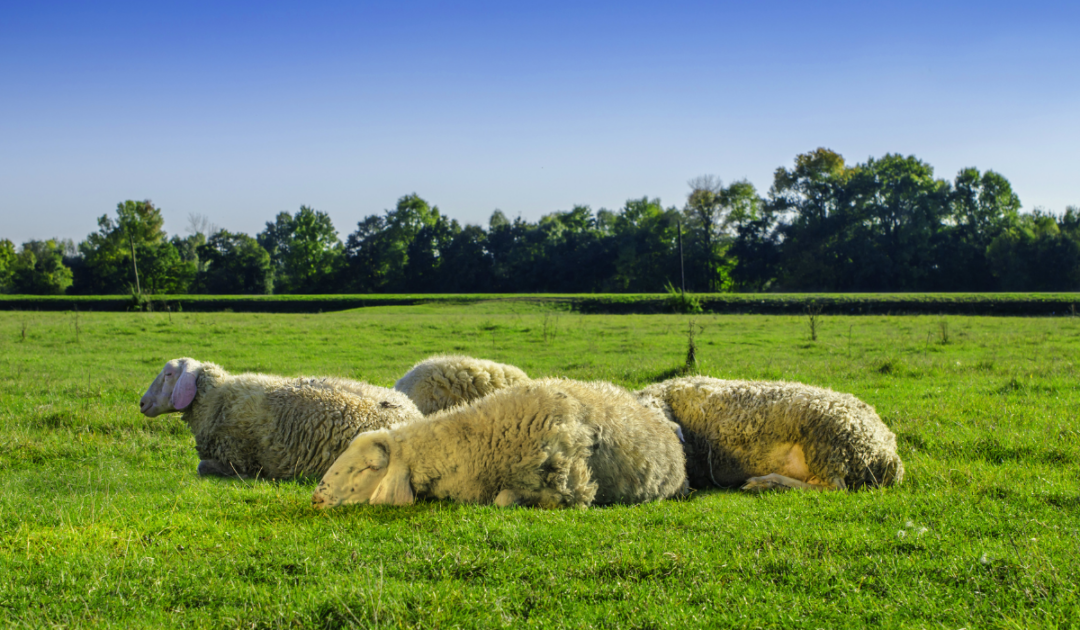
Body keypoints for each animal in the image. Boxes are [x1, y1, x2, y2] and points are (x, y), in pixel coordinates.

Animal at [139, 357, 423, 479]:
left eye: (168, 374)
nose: (141, 403)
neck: (216, 398)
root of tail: (414, 413)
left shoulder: (237, 459)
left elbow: (203, 467)